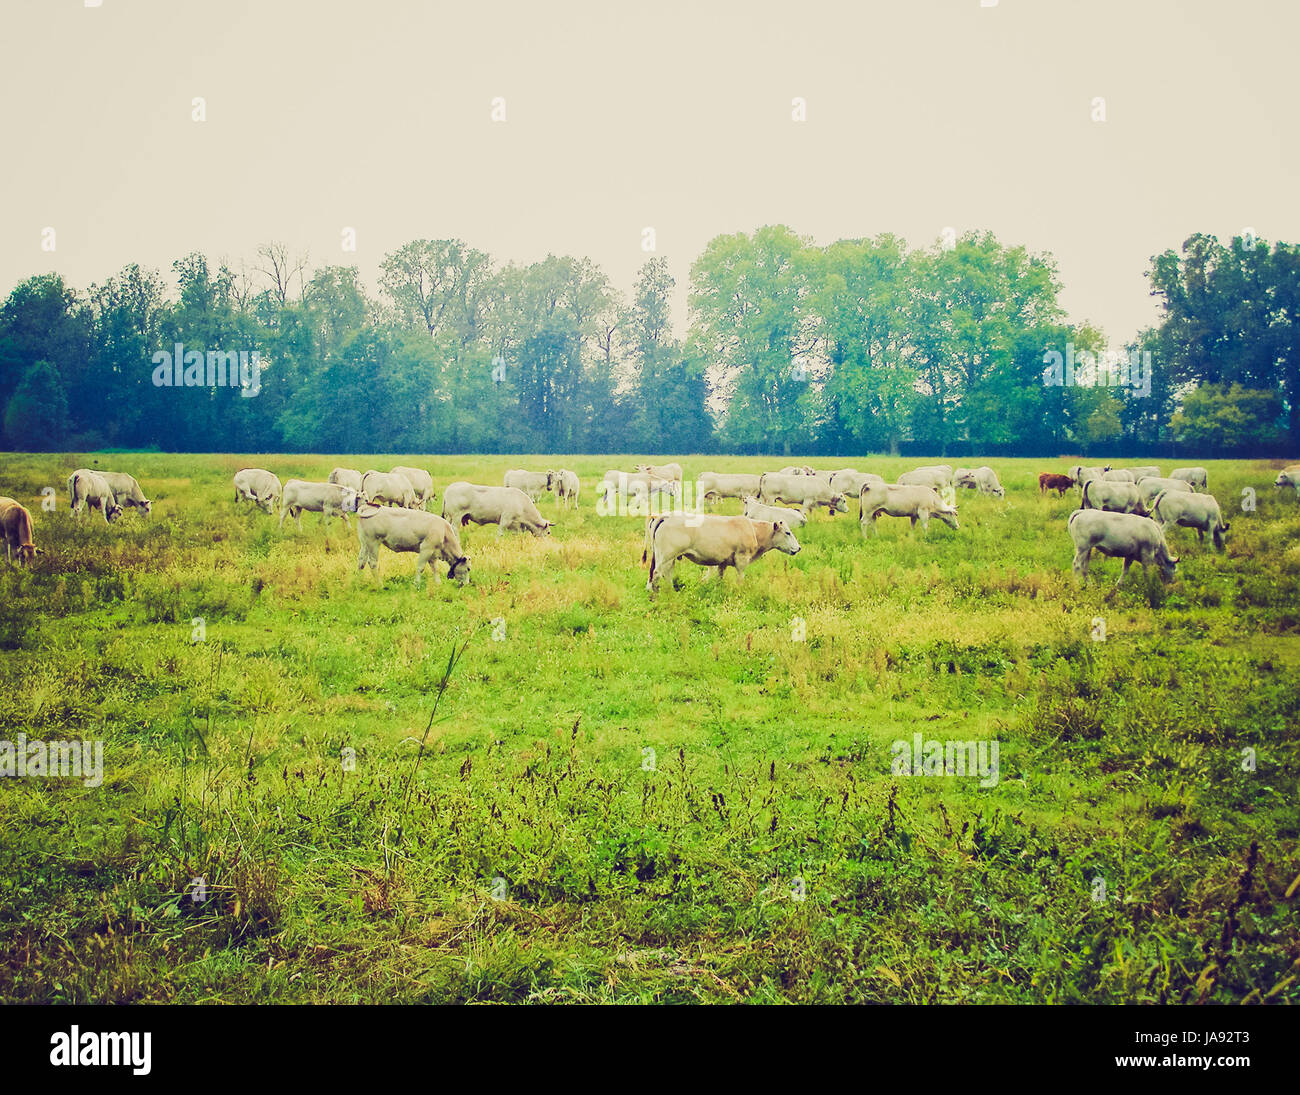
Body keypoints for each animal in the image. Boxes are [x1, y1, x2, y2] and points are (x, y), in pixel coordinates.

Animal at [643, 514, 800, 593]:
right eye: (787, 532)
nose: (798, 548)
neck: (753, 530)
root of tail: (666, 516)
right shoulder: (742, 559)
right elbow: (740, 577)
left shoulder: (722, 562)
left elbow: (720, 577)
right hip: (667, 556)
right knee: (657, 573)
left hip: (665, 557)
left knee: (665, 573)